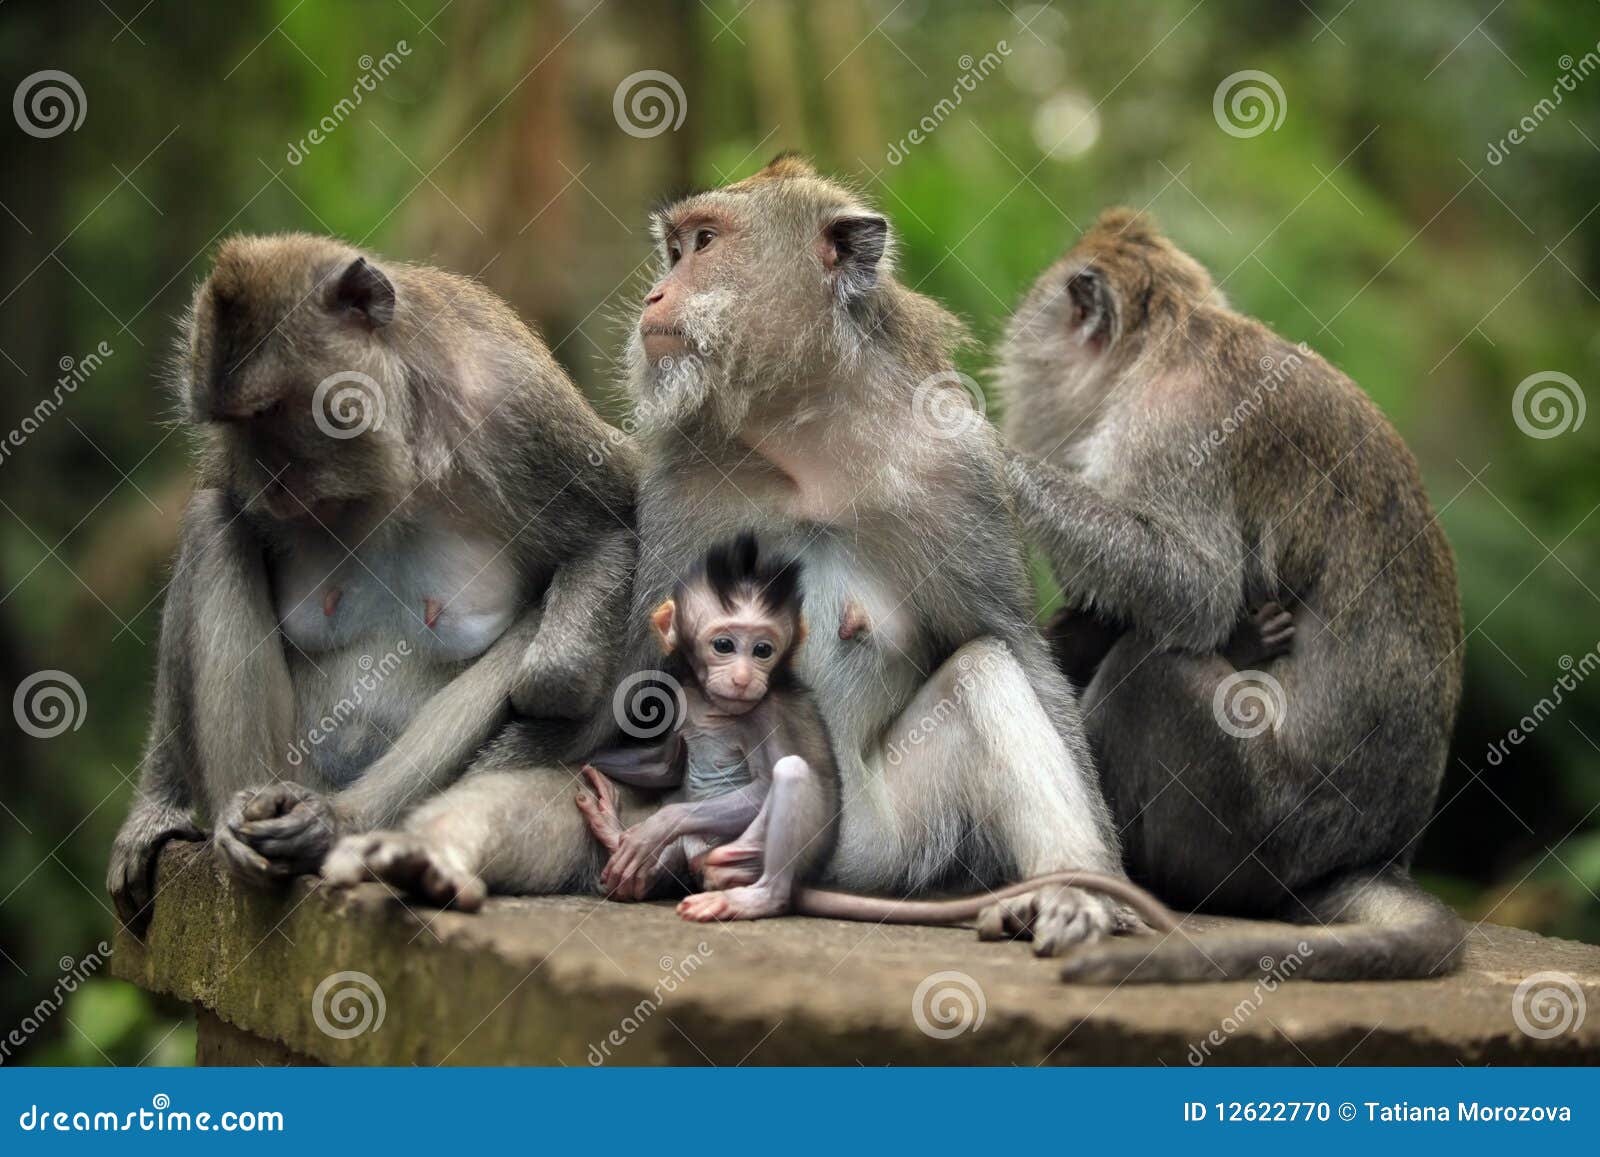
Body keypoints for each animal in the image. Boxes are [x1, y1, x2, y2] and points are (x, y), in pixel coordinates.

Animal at [106, 233, 638, 933]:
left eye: (270, 410)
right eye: (233, 424)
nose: (271, 483)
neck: (399, 436)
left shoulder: (518, 412)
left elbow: (611, 536)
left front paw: (552, 687)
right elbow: (218, 505)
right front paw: (157, 810)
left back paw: (334, 823)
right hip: (288, 764)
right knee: (214, 523)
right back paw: (242, 820)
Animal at [332, 156, 1139, 958]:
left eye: (705, 243)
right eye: (674, 249)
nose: (656, 292)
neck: (807, 436)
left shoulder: (960, 468)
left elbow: (1012, 644)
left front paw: (1100, 881)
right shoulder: (680, 481)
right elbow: (627, 685)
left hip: (883, 843)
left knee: (982, 672)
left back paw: (1063, 890)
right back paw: (428, 853)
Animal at [996, 208, 1465, 982]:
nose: (1014, 377)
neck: (1169, 341)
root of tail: (1369, 857)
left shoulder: (1174, 427)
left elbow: (1194, 589)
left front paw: (979, 448)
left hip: (1259, 832)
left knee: (1157, 673)